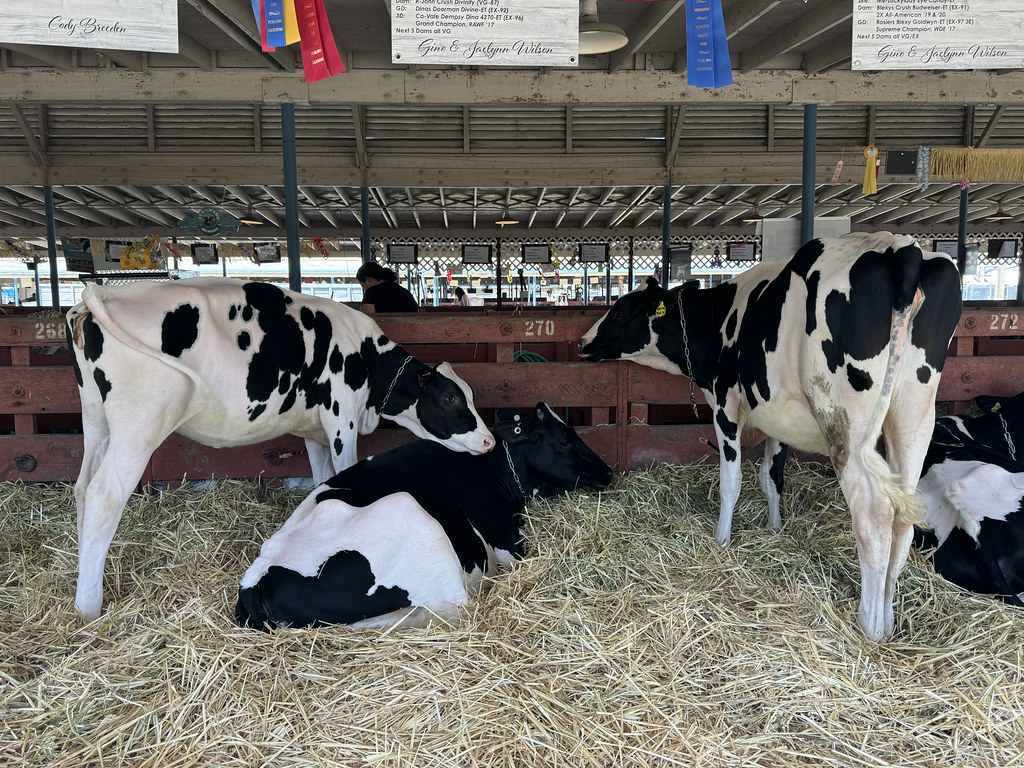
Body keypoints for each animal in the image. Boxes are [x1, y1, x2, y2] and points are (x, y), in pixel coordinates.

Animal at [65, 277, 495, 621]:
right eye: (451, 398)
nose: (489, 441)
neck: (368, 360)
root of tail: (101, 294)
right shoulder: (341, 419)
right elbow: (346, 467)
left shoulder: (314, 430)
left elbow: (324, 478)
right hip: (139, 424)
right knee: (104, 495)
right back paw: (90, 607)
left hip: (97, 420)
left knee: (83, 489)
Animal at [579, 232, 962, 642]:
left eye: (620, 311)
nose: (582, 341)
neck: (717, 321)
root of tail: (898, 245)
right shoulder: (778, 419)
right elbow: (771, 477)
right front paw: (776, 528)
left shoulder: (725, 407)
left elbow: (731, 481)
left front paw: (722, 540)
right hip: (913, 416)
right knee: (904, 518)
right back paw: (889, 620)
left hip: (845, 425)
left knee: (875, 517)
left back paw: (870, 624)